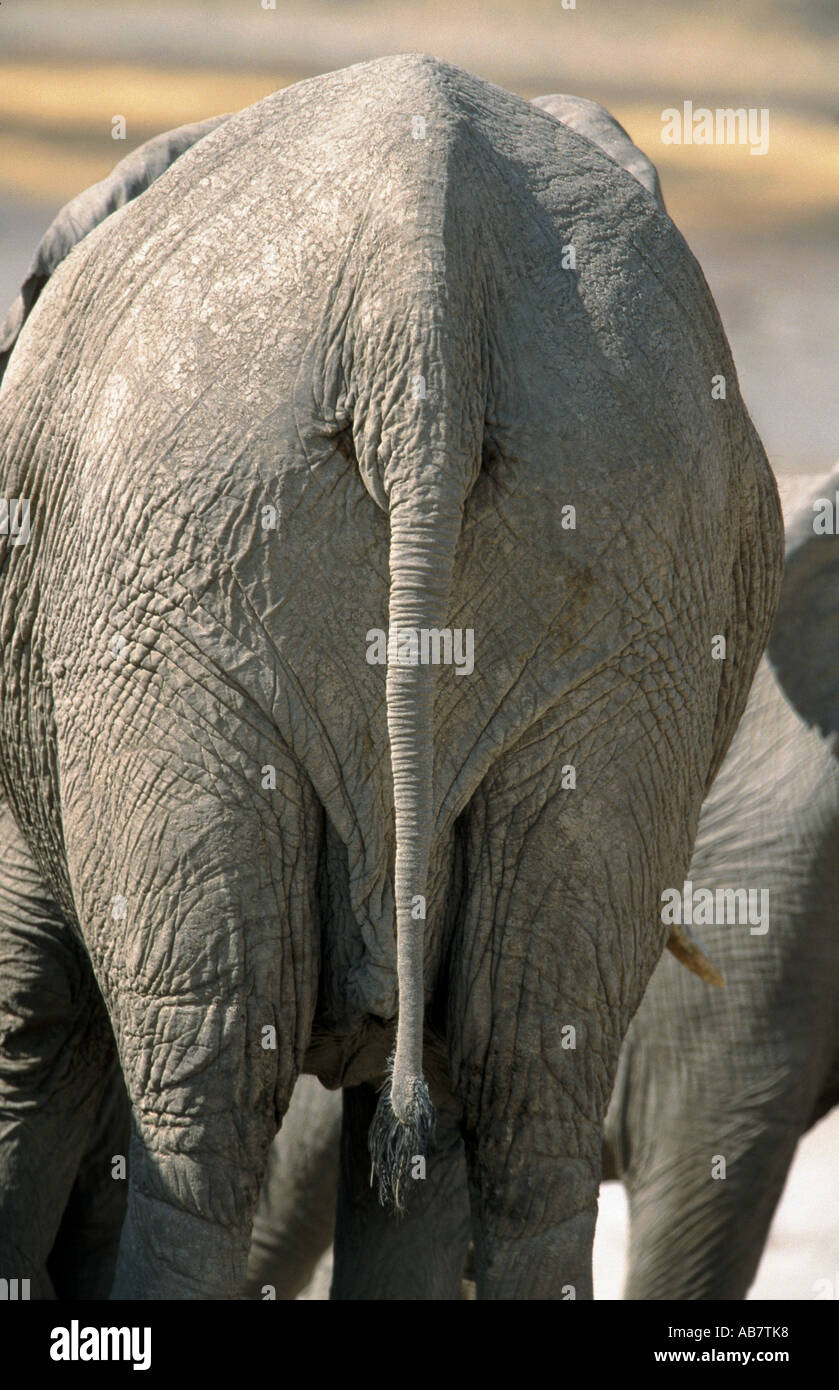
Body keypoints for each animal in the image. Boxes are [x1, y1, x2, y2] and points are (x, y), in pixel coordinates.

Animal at [0, 53, 781, 1300]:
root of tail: (420, 304)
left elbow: (32, 1006)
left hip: (175, 606)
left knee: (208, 1096)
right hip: (625, 599)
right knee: (521, 1088)